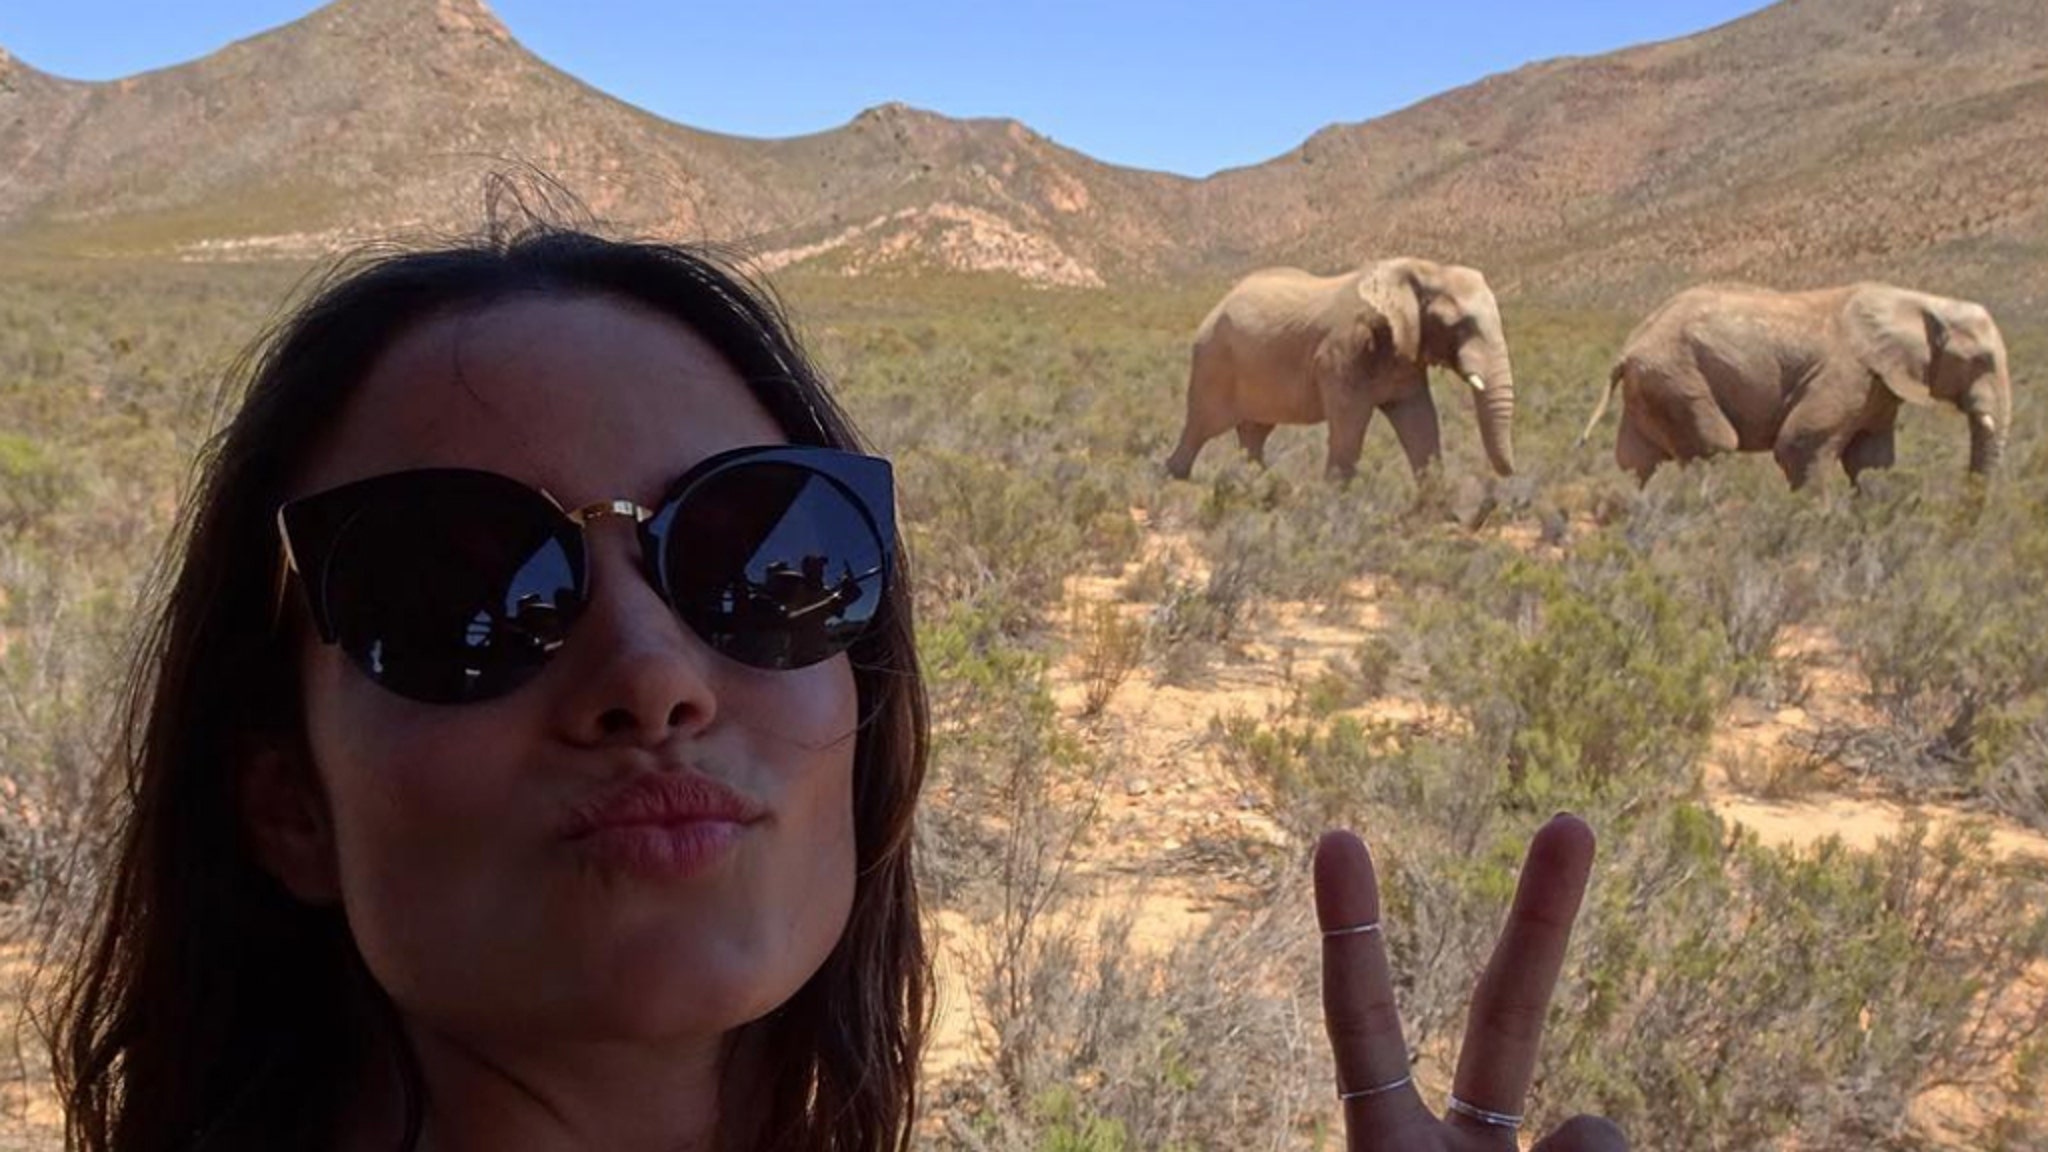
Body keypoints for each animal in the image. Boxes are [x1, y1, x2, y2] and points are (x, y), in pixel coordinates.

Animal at [1164, 258, 1518, 482]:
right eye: (1459, 326)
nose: (1510, 474)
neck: (1421, 269)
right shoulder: (1346, 350)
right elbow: (1350, 423)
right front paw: (1335, 498)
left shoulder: (1406, 355)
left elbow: (1420, 422)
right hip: (1213, 359)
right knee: (1202, 425)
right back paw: (1175, 477)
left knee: (1255, 432)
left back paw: (1261, 486)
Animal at [1581, 282, 2013, 488]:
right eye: (1981, 361)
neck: (1919, 301)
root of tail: (1628, 349)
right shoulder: (1845, 375)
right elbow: (1800, 445)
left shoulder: (1880, 389)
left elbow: (1870, 462)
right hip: (1677, 381)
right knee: (1715, 447)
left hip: (1652, 385)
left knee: (1636, 463)